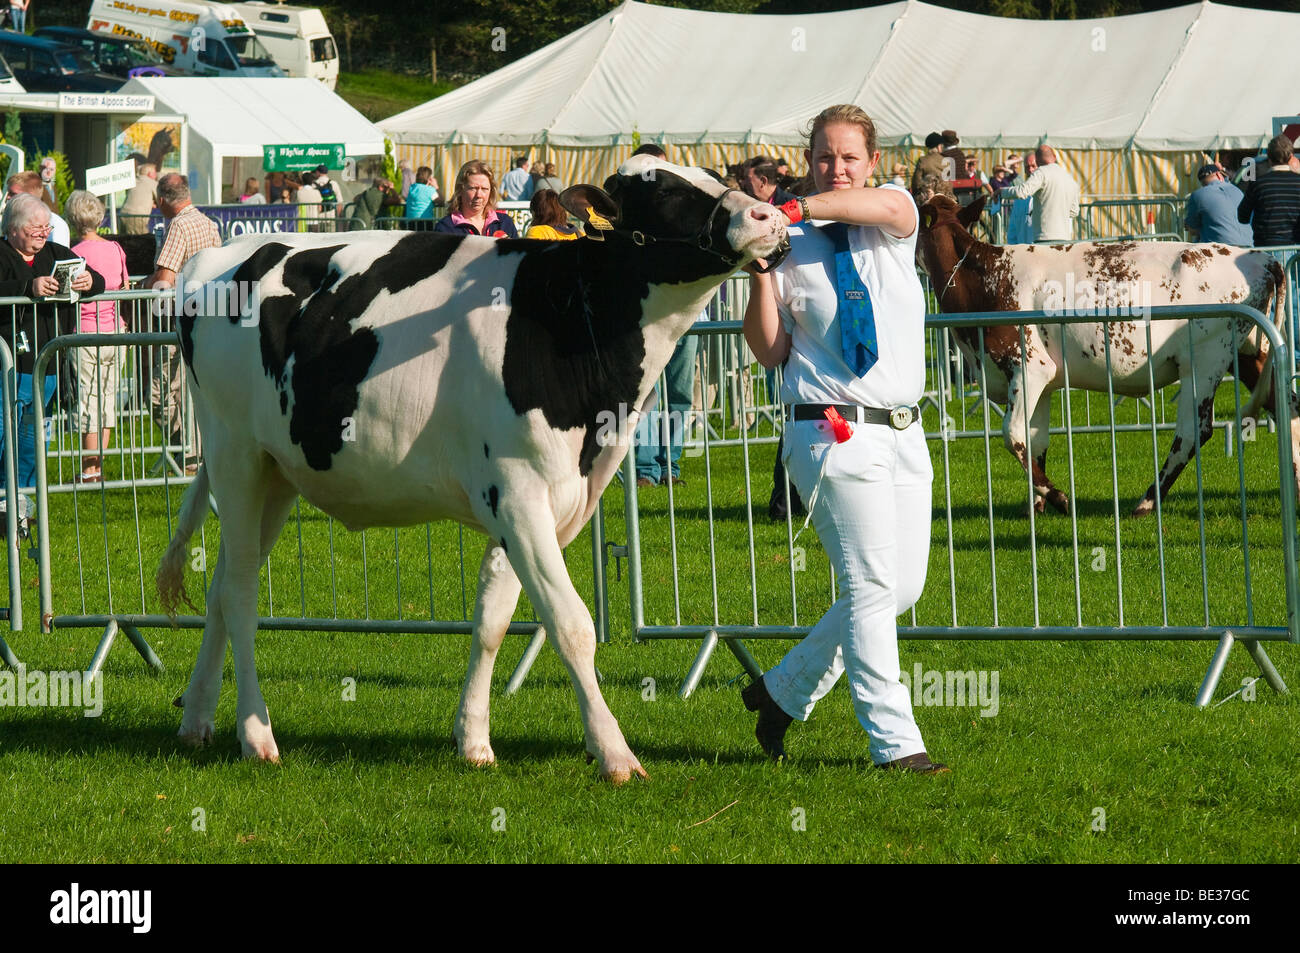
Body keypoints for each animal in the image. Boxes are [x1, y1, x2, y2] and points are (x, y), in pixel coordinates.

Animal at [154, 157, 788, 783]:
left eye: (713, 175)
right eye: (664, 192)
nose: (772, 218)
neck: (568, 318)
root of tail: (216, 259)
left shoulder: (534, 503)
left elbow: (492, 623)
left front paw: (474, 740)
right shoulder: (522, 496)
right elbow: (571, 624)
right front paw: (614, 753)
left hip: (278, 473)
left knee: (219, 586)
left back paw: (196, 719)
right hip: (235, 456)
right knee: (239, 593)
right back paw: (256, 735)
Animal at [917, 194, 1299, 517]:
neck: (982, 278)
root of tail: (1262, 258)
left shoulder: (1028, 366)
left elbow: (1012, 435)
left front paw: (1059, 498)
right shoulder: (1042, 381)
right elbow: (1035, 437)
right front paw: (1037, 505)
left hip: (1204, 359)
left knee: (1194, 431)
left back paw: (1147, 502)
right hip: (1249, 354)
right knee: (1288, 405)